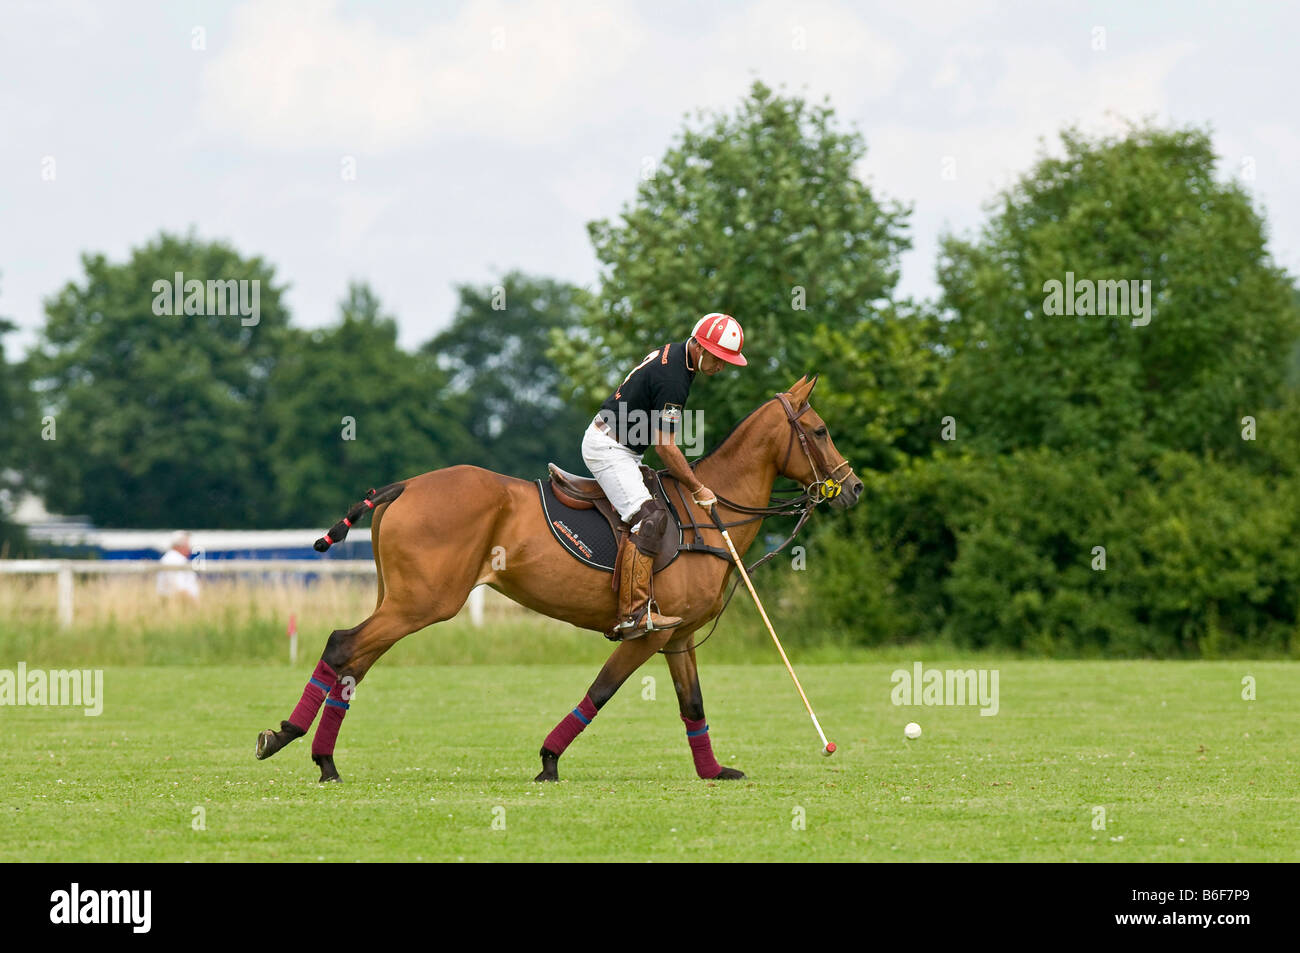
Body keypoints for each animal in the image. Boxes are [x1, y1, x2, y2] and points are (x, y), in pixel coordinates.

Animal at [255, 374, 863, 782]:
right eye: (820, 430)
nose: (853, 489)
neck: (705, 517)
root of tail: (402, 486)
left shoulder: (679, 635)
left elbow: (692, 704)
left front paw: (713, 771)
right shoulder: (652, 632)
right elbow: (602, 689)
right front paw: (548, 759)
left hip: (401, 598)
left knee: (355, 661)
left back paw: (324, 760)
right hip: (425, 601)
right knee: (342, 646)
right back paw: (286, 739)